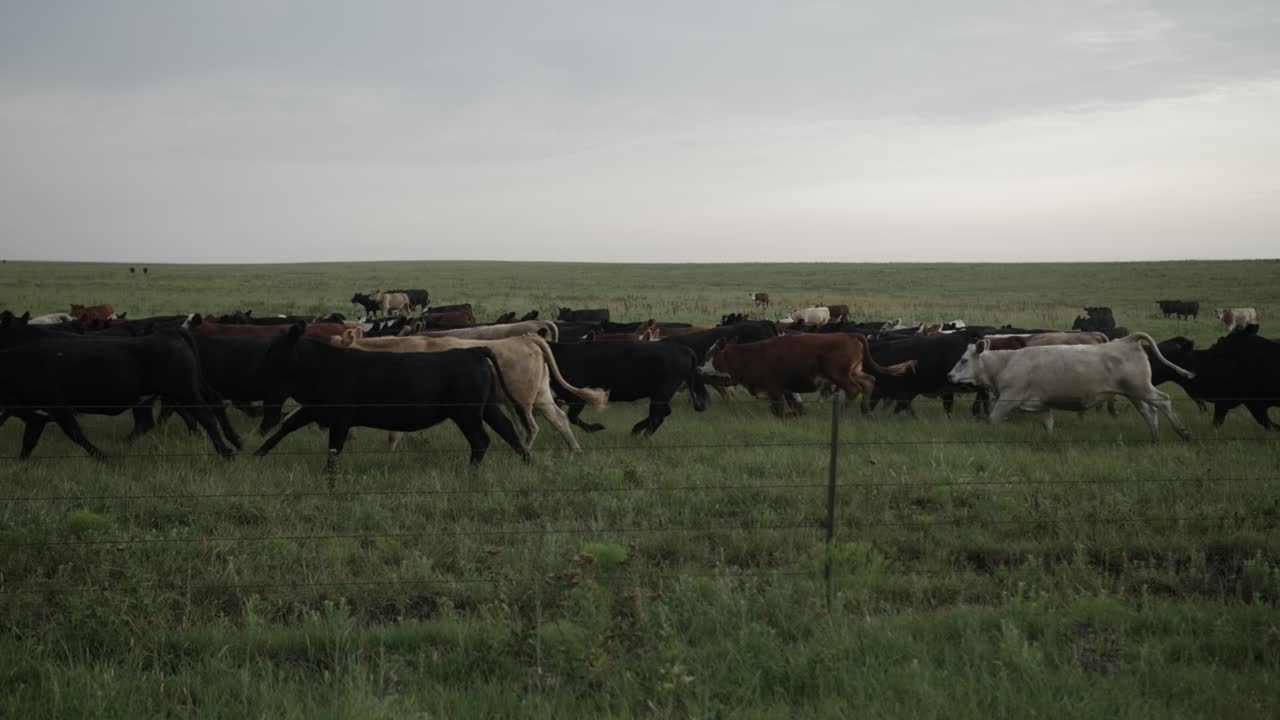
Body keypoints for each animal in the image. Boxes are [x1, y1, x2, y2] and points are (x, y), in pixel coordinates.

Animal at [253, 326, 529, 471]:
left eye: (274, 354)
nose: (258, 373)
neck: (322, 365)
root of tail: (473, 351)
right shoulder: (314, 408)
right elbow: (286, 427)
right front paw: (256, 454)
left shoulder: (341, 418)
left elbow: (334, 449)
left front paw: (327, 477)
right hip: (487, 407)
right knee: (508, 431)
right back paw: (527, 461)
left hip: (467, 413)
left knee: (481, 440)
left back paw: (471, 472)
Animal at [331, 329, 607, 452]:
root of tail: (526, 337)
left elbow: (392, 435)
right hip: (540, 396)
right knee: (559, 420)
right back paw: (575, 451)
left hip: (522, 401)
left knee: (531, 428)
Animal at [548, 341, 709, 435]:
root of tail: (684, 349)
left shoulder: (578, 396)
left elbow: (572, 416)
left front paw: (596, 427)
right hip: (660, 394)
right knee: (662, 413)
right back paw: (636, 430)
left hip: (663, 392)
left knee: (657, 416)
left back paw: (641, 435)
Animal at [700, 333, 916, 416]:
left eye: (709, 354)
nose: (699, 367)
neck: (750, 356)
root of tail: (849, 334)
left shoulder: (774, 388)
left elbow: (778, 409)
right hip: (854, 371)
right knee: (869, 381)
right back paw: (866, 411)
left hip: (839, 374)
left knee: (854, 389)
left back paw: (843, 414)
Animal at [945, 333, 1193, 438]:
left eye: (964, 360)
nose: (949, 376)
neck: (1006, 362)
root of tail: (1126, 340)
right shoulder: (1042, 406)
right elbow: (1048, 426)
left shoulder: (1007, 400)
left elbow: (990, 420)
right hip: (1134, 393)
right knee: (1149, 411)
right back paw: (1154, 436)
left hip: (1141, 389)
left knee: (1163, 401)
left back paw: (1183, 432)